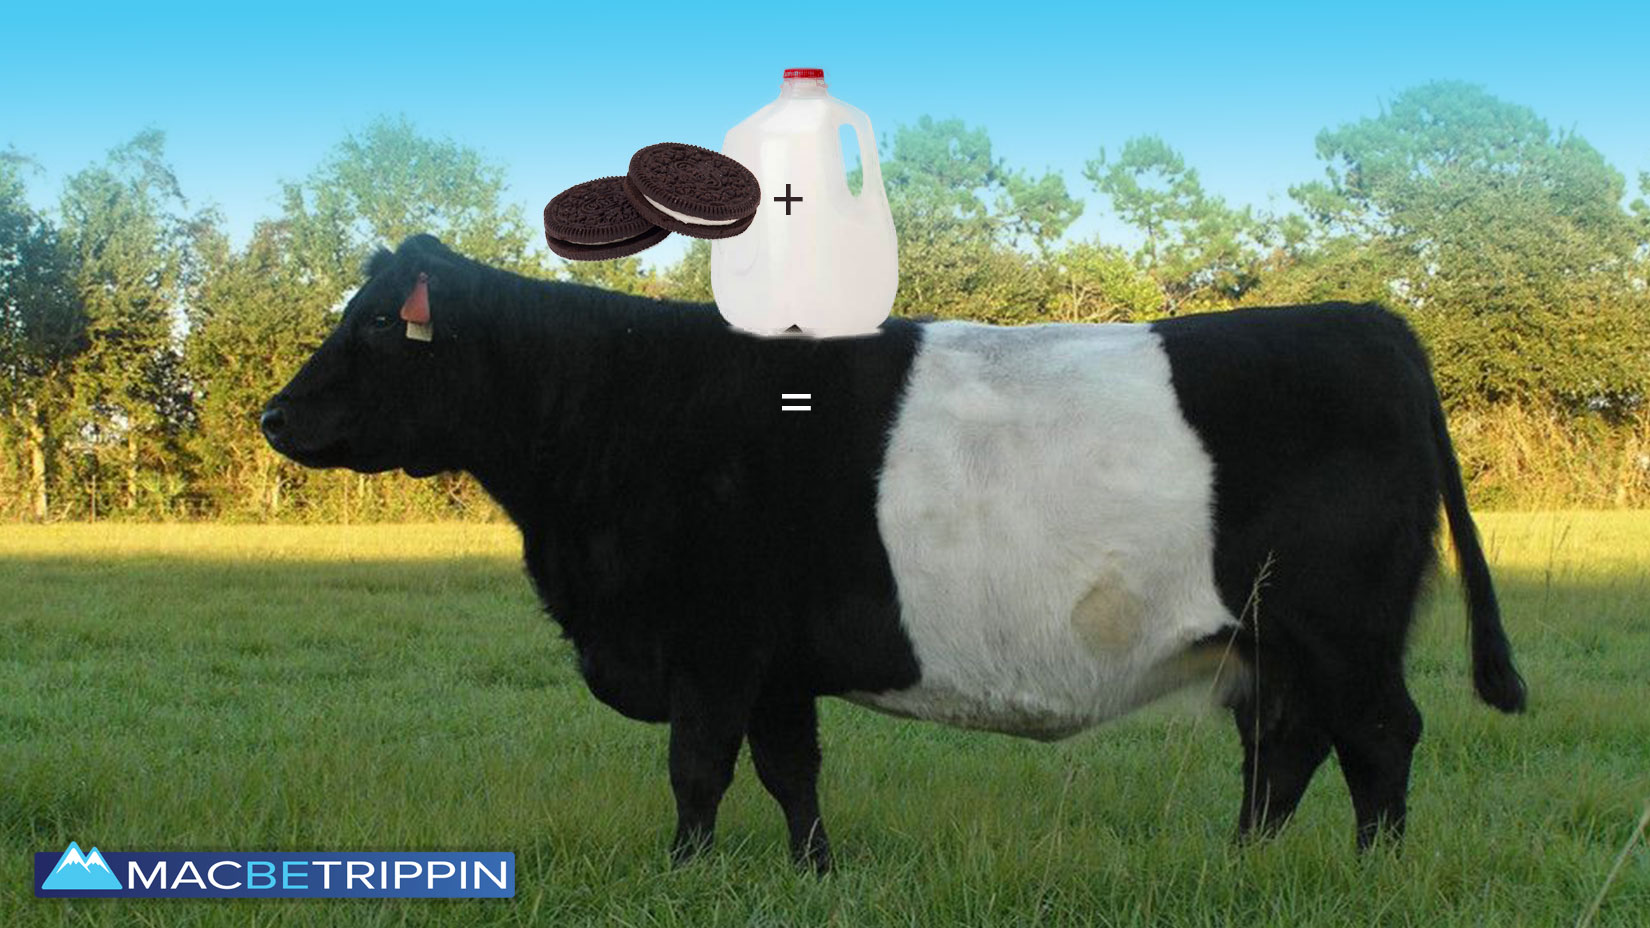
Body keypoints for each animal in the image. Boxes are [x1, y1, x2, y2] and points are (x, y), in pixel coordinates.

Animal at [262, 234, 1525, 871]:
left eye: (376, 326)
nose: (274, 415)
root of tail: (1373, 321)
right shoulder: (771, 660)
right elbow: (791, 770)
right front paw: (812, 874)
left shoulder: (715, 641)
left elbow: (698, 768)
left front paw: (683, 874)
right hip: (1270, 639)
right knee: (1285, 747)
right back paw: (1240, 868)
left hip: (1340, 624)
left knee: (1377, 737)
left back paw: (1374, 876)